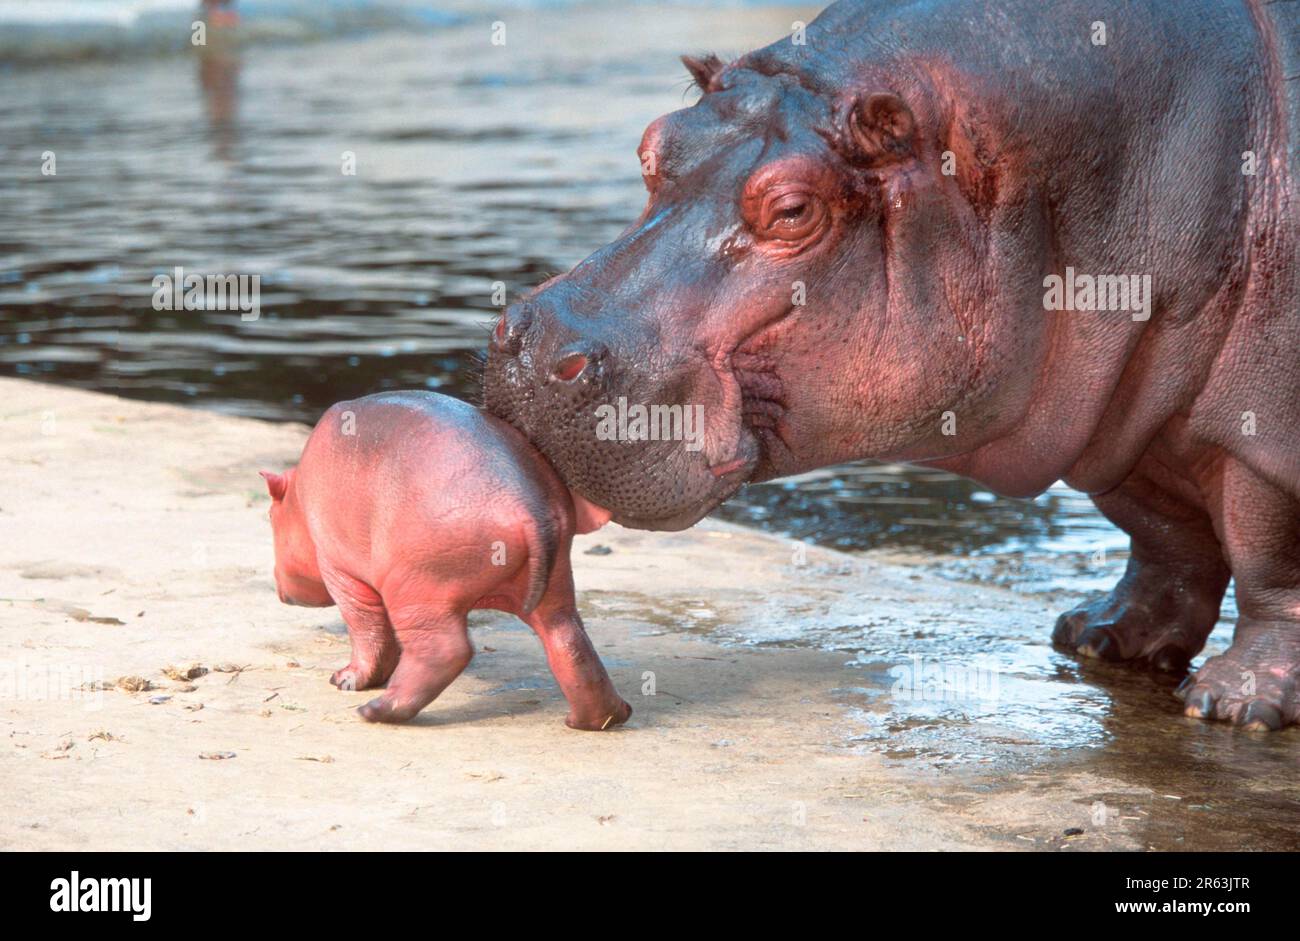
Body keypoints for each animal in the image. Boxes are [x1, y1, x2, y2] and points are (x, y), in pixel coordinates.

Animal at [261, 391, 631, 730]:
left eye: (268, 516)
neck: (297, 497)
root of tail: (530, 509)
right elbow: (385, 638)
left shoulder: (341, 571)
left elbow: (366, 627)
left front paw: (346, 680)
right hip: (554, 589)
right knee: (570, 643)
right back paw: (600, 718)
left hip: (413, 589)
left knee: (445, 651)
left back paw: (376, 711)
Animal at [485, 0, 1300, 730]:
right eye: (653, 145)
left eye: (792, 209)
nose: (536, 344)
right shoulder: (1124, 407)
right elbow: (1159, 530)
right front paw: (1099, 638)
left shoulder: (1260, 425)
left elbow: (1267, 554)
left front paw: (1232, 704)